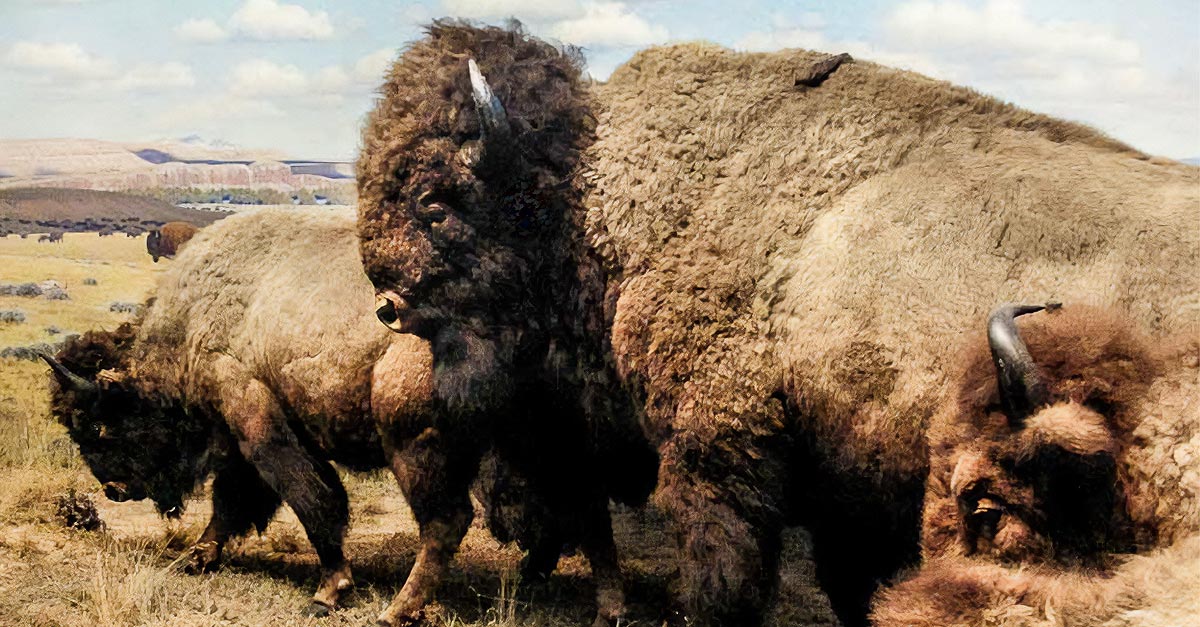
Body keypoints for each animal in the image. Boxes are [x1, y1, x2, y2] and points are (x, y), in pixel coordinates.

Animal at [43, 207, 654, 625]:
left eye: (99, 425)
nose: (114, 489)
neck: (195, 316)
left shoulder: (258, 420)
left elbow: (311, 501)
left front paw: (330, 589)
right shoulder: (246, 437)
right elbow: (232, 502)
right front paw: (200, 557)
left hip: (415, 442)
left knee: (448, 520)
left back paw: (398, 610)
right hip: (544, 439)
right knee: (588, 511)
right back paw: (611, 610)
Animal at [356, 21, 1199, 626]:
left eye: (436, 200)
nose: (388, 303)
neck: (591, 200)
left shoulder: (718, 453)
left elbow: (724, 581)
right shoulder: (846, 485)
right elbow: (852, 585)